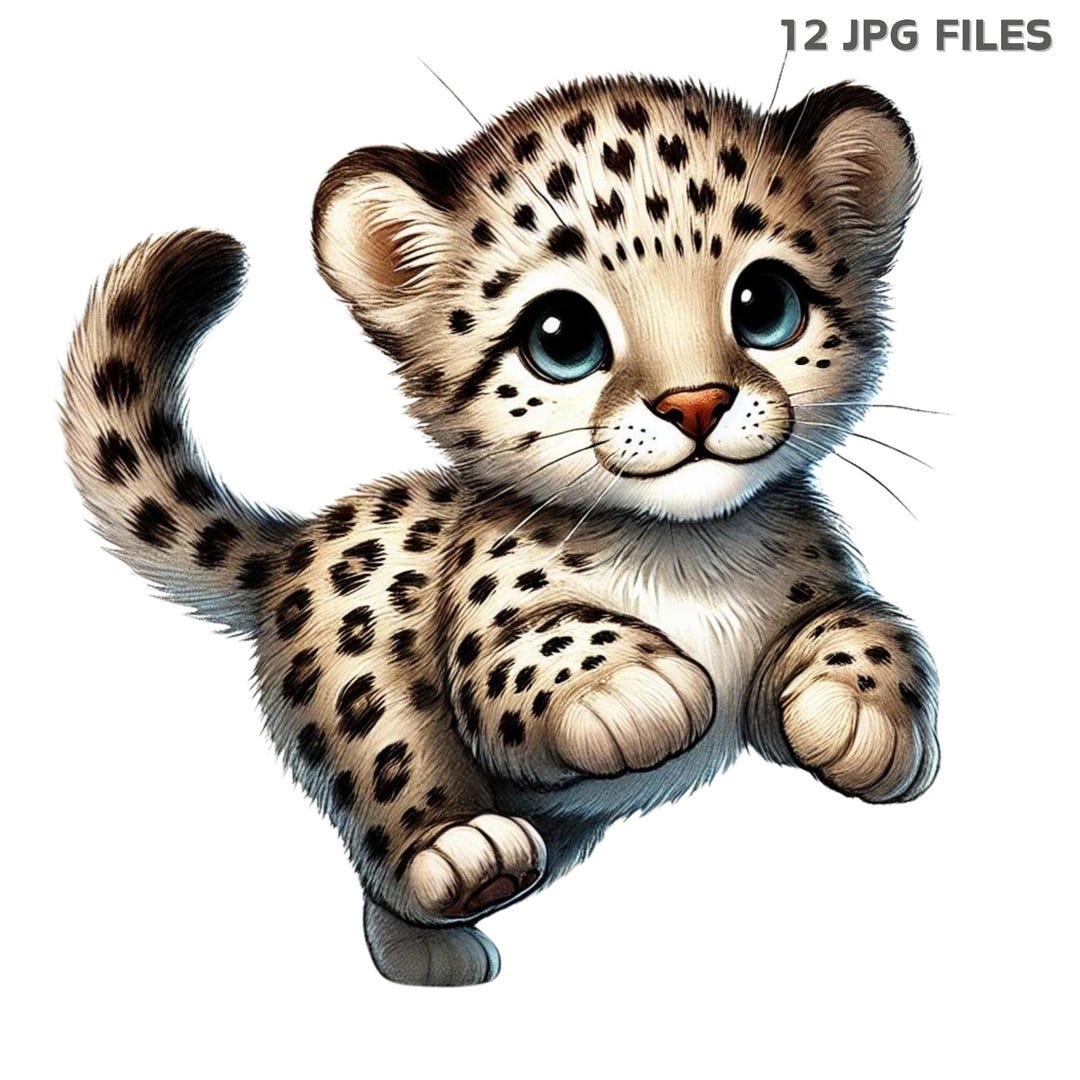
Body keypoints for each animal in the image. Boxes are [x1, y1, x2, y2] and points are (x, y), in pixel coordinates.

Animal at [62, 75, 939, 986]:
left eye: (766, 304)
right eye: (562, 336)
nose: (695, 403)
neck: (689, 552)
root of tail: (297, 541)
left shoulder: (806, 610)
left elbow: (864, 625)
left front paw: (857, 714)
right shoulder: (482, 637)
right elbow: (535, 648)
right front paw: (629, 684)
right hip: (358, 679)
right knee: (387, 772)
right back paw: (456, 856)